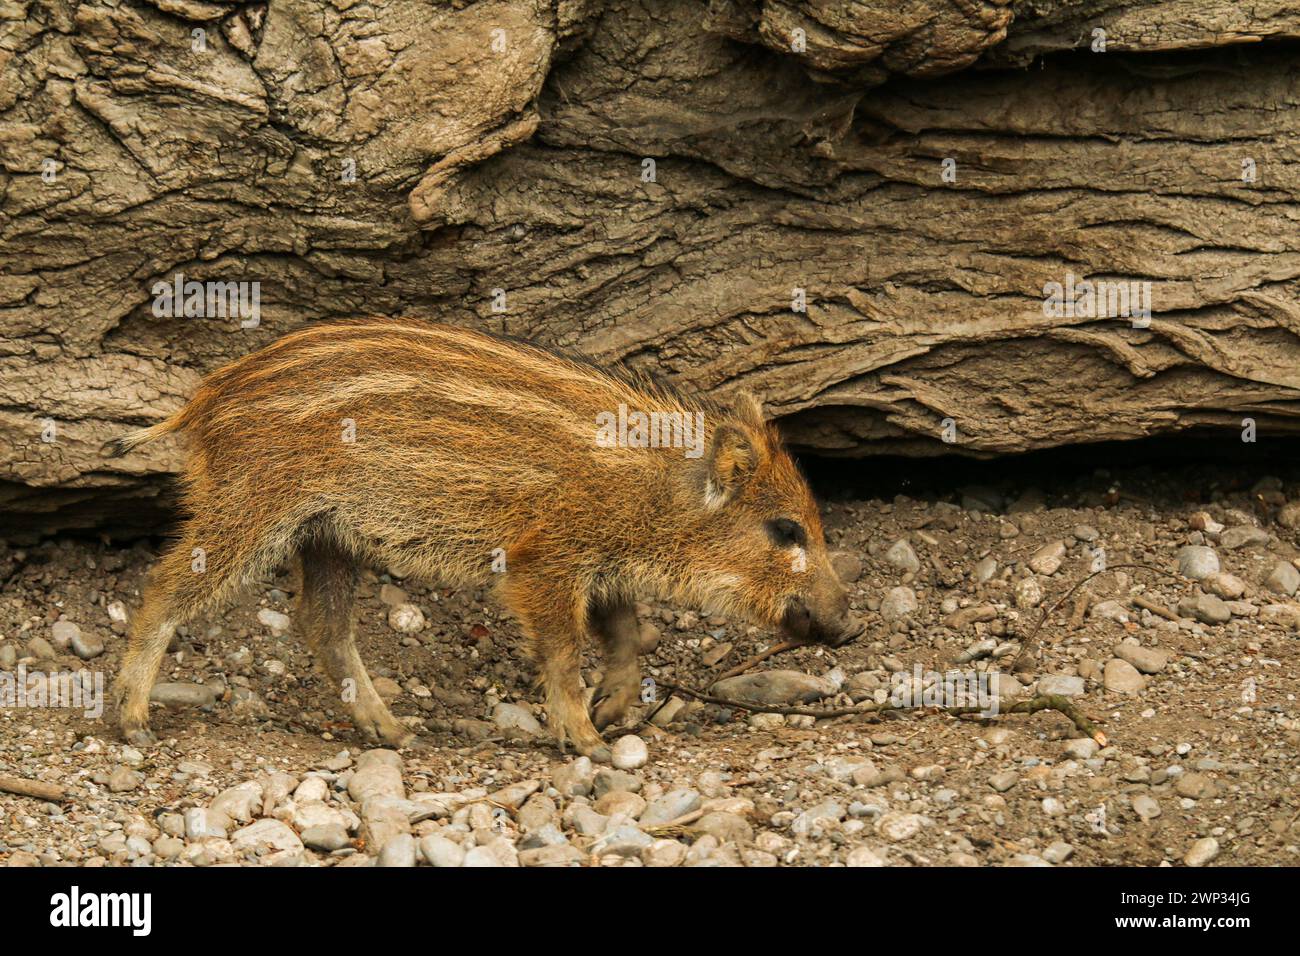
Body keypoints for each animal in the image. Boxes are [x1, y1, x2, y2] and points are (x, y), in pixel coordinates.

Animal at [105, 319, 862, 760]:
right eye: (785, 528)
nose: (850, 627)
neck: (655, 492)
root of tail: (205, 398)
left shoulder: (601, 564)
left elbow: (624, 635)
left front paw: (613, 711)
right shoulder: (544, 561)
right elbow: (564, 650)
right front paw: (587, 741)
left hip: (328, 537)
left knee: (322, 625)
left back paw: (395, 734)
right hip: (252, 510)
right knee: (164, 588)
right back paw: (132, 720)